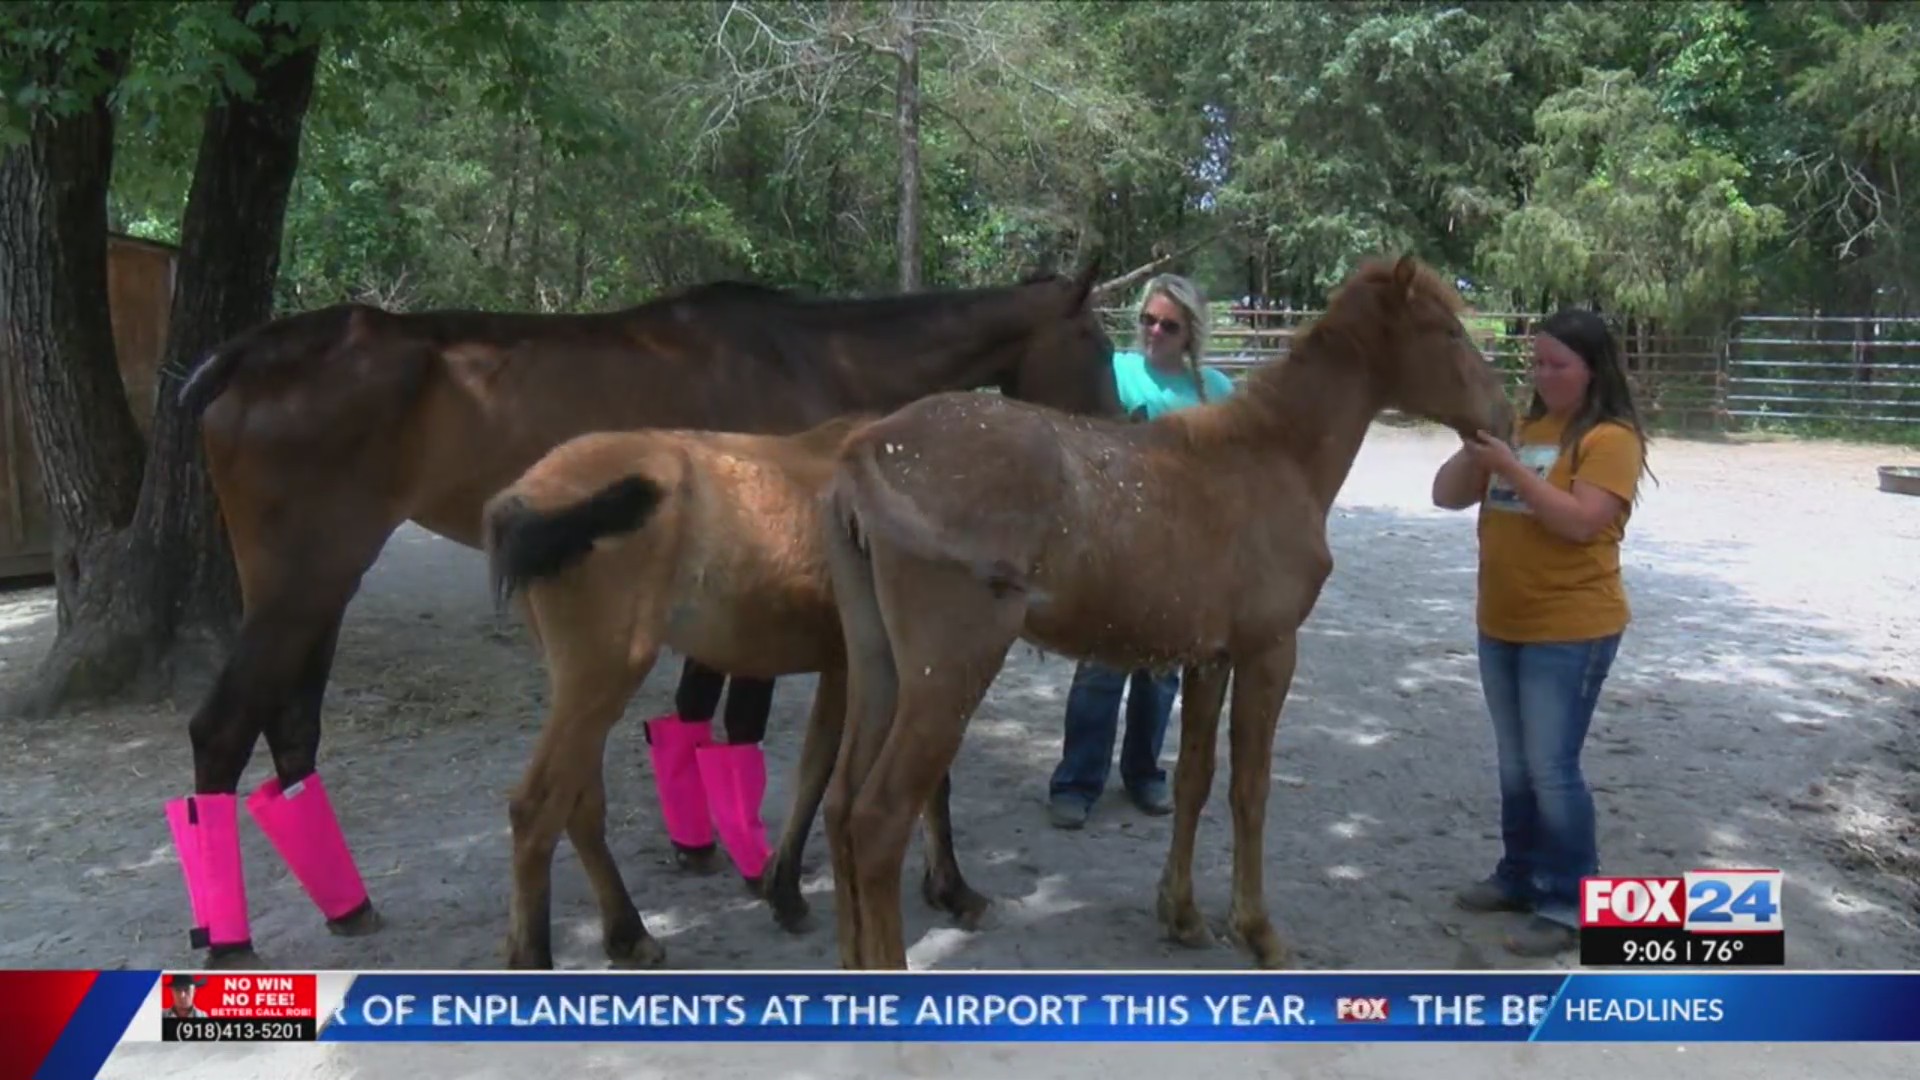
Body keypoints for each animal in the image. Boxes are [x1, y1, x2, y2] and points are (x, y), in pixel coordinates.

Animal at [482, 413, 989, 969]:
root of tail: (526, 495)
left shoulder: (853, 668)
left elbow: (821, 767)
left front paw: (784, 888)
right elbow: (873, 776)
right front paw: (949, 889)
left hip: (585, 687)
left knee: (579, 802)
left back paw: (628, 933)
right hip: (602, 677)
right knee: (537, 808)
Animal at [813, 254, 1517, 969]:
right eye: (1447, 332)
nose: (1506, 414)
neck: (1272, 457)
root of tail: (867, 448)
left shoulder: (1209, 661)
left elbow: (1194, 781)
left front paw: (1182, 915)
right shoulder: (1270, 653)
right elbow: (1250, 788)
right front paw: (1258, 931)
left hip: (879, 669)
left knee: (840, 806)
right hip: (949, 676)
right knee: (878, 820)